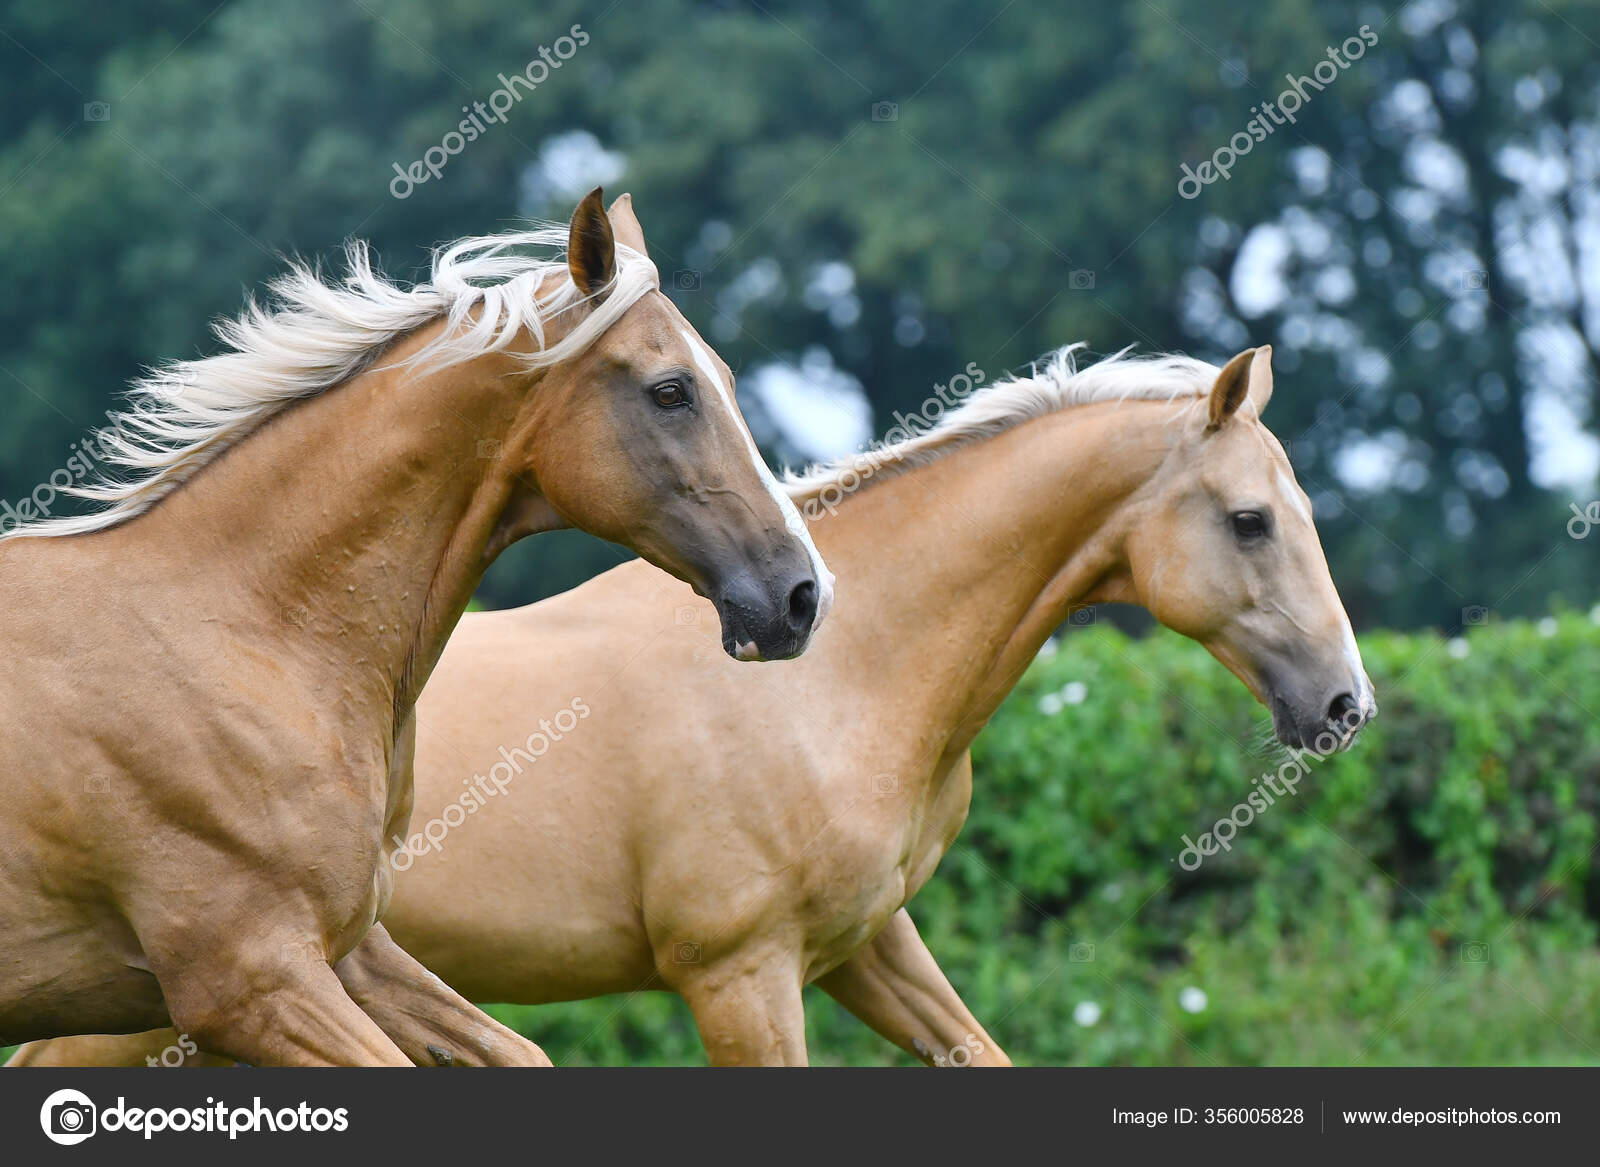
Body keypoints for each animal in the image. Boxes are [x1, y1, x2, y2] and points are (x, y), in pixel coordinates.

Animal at [0, 189, 832, 1066]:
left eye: (727, 379)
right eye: (671, 390)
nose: (800, 595)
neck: (245, 638)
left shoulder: (348, 948)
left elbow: (521, 1052)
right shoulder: (248, 981)